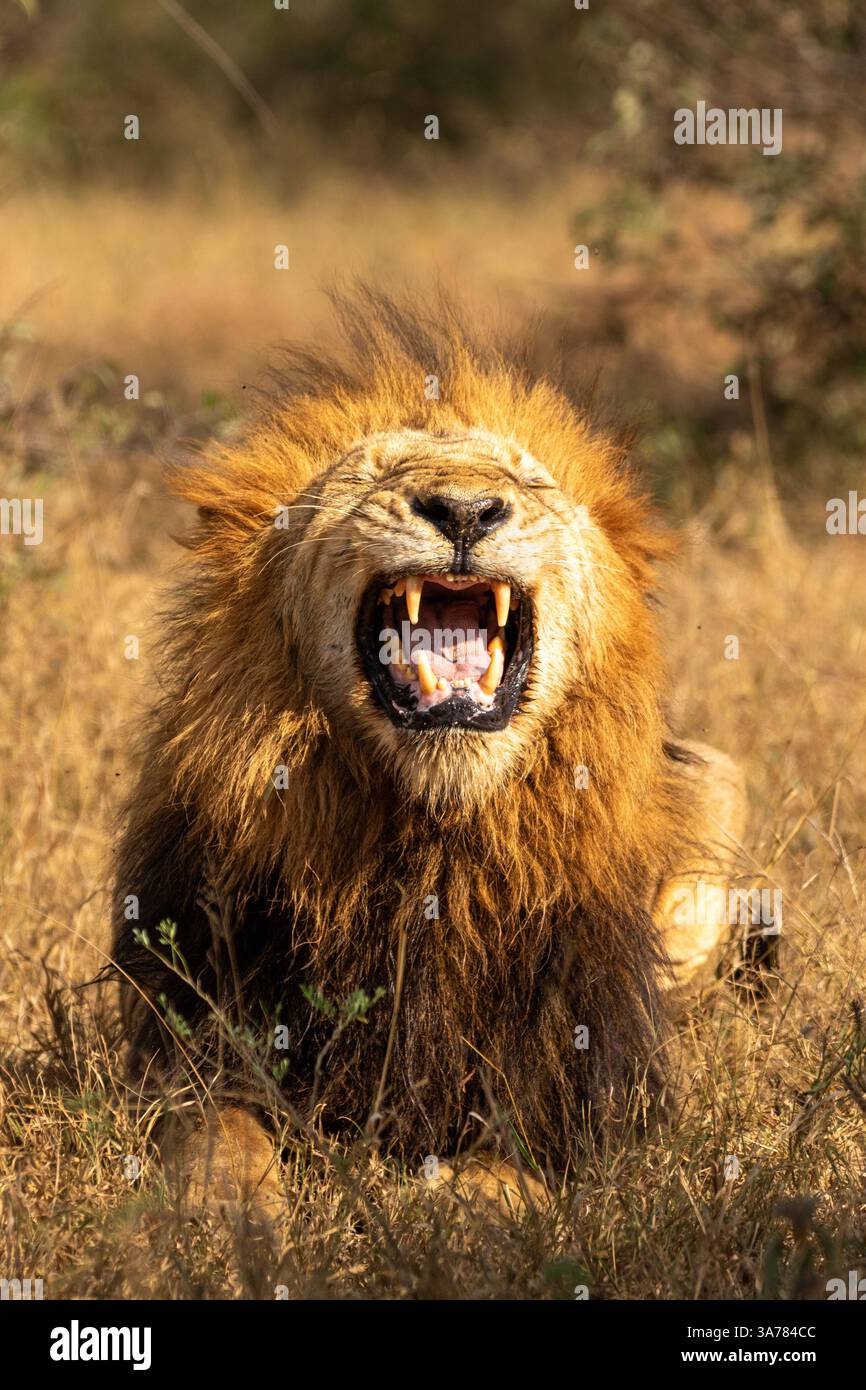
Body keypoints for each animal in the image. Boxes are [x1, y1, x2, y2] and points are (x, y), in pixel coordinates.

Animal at [111, 288, 745, 1214]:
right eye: (377, 478)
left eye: (523, 484)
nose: (466, 511)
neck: (431, 850)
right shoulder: (203, 1023)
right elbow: (213, 1129)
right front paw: (229, 1212)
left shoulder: (572, 1090)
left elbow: (505, 1173)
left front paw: (458, 1216)